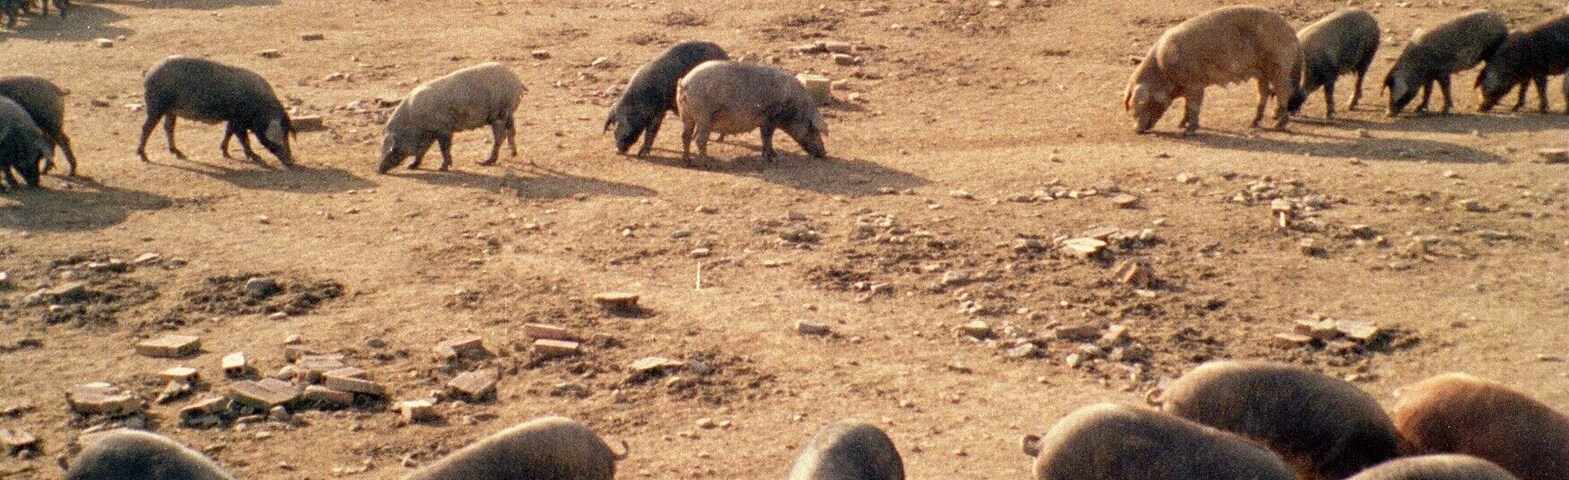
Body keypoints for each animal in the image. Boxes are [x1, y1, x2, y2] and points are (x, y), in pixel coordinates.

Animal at [136, 56, 295, 168]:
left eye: (287, 135)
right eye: (280, 137)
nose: (291, 161)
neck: (259, 108)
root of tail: (149, 72)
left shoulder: (232, 119)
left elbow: (228, 133)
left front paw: (225, 153)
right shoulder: (239, 121)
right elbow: (244, 139)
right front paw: (257, 158)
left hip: (170, 111)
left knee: (168, 127)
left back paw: (179, 154)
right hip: (156, 106)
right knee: (146, 128)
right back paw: (144, 157)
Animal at [379, 62, 525, 174]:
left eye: (392, 149)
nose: (379, 169)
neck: (412, 120)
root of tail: (516, 79)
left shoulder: (443, 129)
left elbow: (444, 148)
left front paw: (442, 168)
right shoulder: (430, 134)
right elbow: (423, 151)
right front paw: (411, 166)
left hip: (498, 114)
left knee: (500, 136)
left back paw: (485, 162)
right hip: (508, 114)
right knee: (511, 131)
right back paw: (512, 154)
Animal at [676, 60, 828, 164]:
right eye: (814, 129)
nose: (824, 154)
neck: (795, 107)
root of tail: (685, 83)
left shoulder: (765, 120)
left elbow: (764, 137)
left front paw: (772, 155)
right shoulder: (772, 117)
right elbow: (767, 137)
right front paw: (772, 157)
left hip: (686, 114)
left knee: (685, 135)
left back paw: (687, 161)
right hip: (703, 116)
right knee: (699, 138)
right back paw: (708, 162)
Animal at [1124, 5, 1304, 134]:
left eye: (1139, 105)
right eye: (1129, 106)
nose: (1136, 130)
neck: (1163, 71)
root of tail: (1291, 31)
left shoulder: (1194, 83)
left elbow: (1193, 105)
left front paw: (1188, 131)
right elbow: (1186, 106)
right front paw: (1180, 125)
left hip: (1279, 66)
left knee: (1283, 92)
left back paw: (1277, 126)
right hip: (1262, 72)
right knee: (1263, 93)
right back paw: (1253, 124)